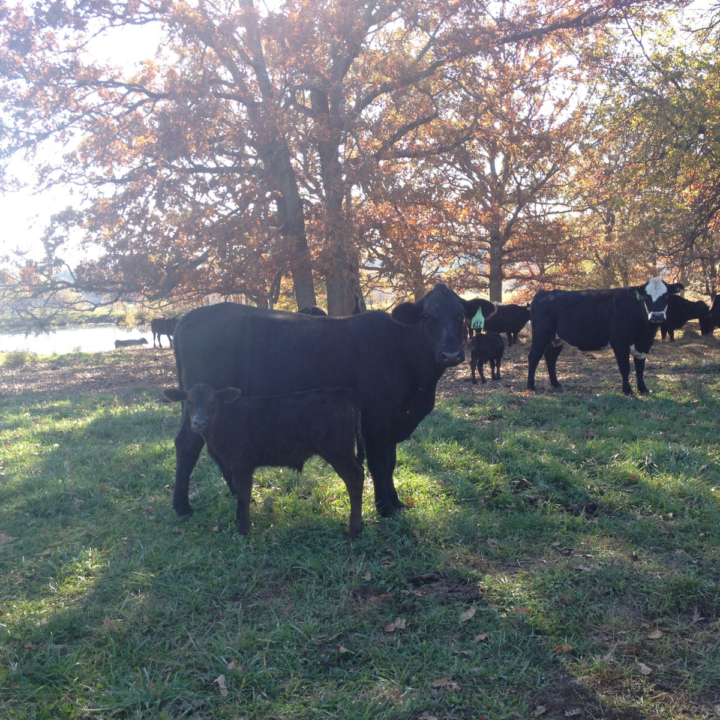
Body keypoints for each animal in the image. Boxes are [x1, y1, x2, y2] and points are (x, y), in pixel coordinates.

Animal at [163, 384, 365, 537]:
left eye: (213, 403)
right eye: (189, 402)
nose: (198, 423)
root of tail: (339, 392)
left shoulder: (243, 465)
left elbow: (243, 497)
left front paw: (243, 531)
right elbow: (238, 493)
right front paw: (238, 520)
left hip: (338, 451)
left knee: (355, 477)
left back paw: (353, 530)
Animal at [169, 283, 496, 520]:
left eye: (461, 315)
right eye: (428, 316)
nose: (451, 353)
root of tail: (188, 318)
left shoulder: (391, 421)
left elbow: (391, 463)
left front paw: (396, 503)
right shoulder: (375, 417)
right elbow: (380, 463)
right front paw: (385, 509)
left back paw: (236, 495)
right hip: (200, 400)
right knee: (187, 445)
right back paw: (183, 509)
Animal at [527, 277, 684, 395]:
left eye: (666, 295)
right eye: (646, 296)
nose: (657, 315)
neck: (644, 333)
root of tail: (543, 293)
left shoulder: (644, 345)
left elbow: (640, 369)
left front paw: (643, 389)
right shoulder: (620, 343)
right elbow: (625, 368)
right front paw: (627, 391)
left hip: (557, 339)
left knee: (550, 358)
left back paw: (556, 384)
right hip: (541, 335)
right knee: (533, 357)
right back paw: (531, 386)